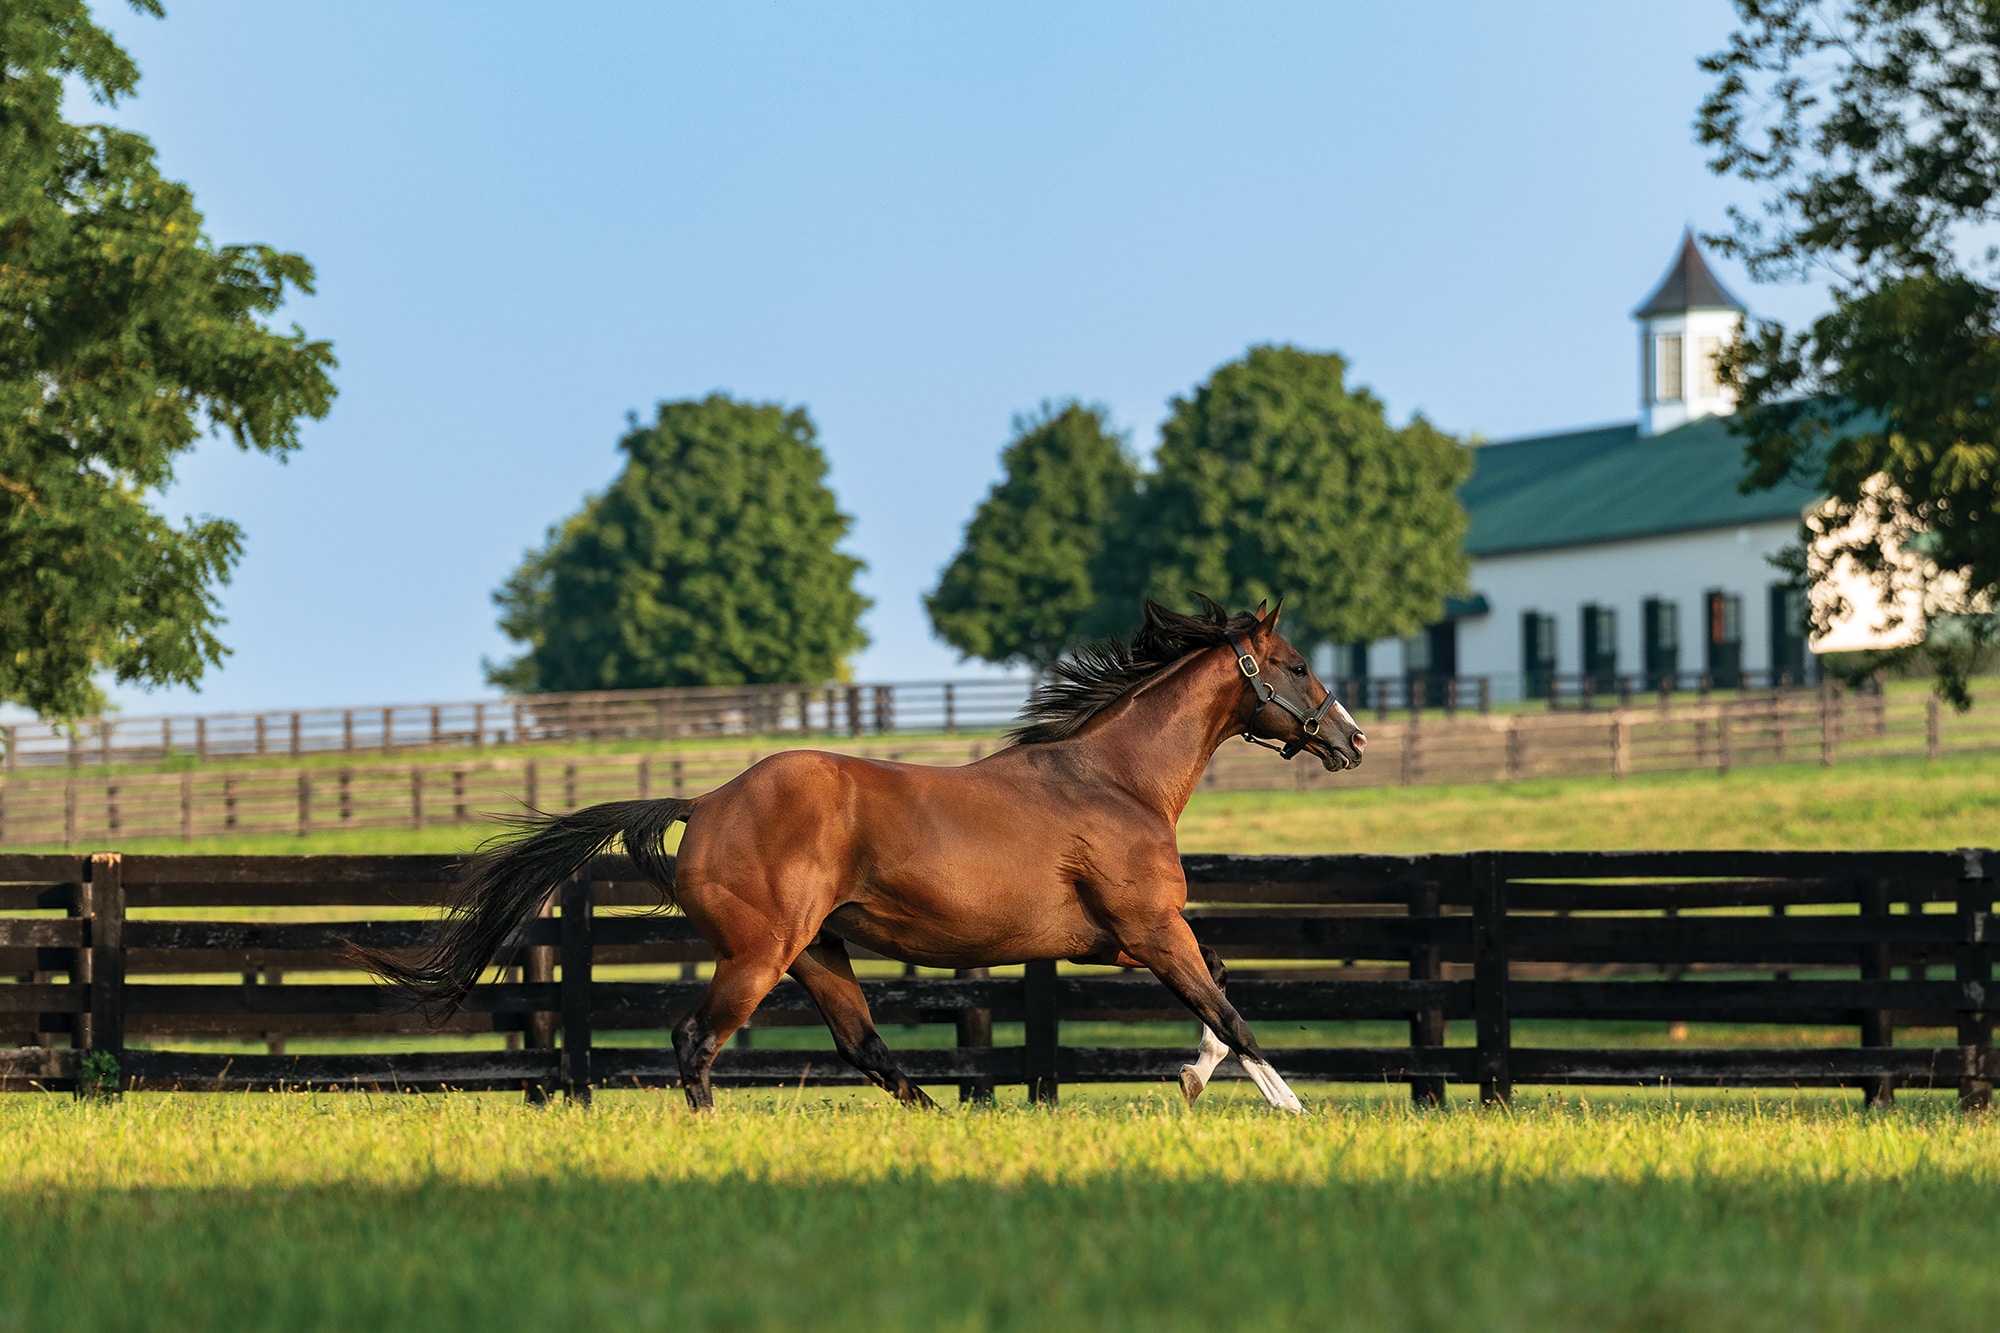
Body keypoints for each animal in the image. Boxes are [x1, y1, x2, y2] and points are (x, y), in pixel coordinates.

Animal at [354, 597, 1367, 1112]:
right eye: (1299, 665)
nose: (1352, 739)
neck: (1115, 778)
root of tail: (706, 803)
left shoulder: (1121, 938)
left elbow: (1221, 987)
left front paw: (1193, 1076)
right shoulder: (1150, 927)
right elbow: (1233, 1010)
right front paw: (1290, 1108)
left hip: (819, 951)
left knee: (867, 1047)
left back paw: (935, 1123)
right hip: (761, 953)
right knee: (698, 1041)